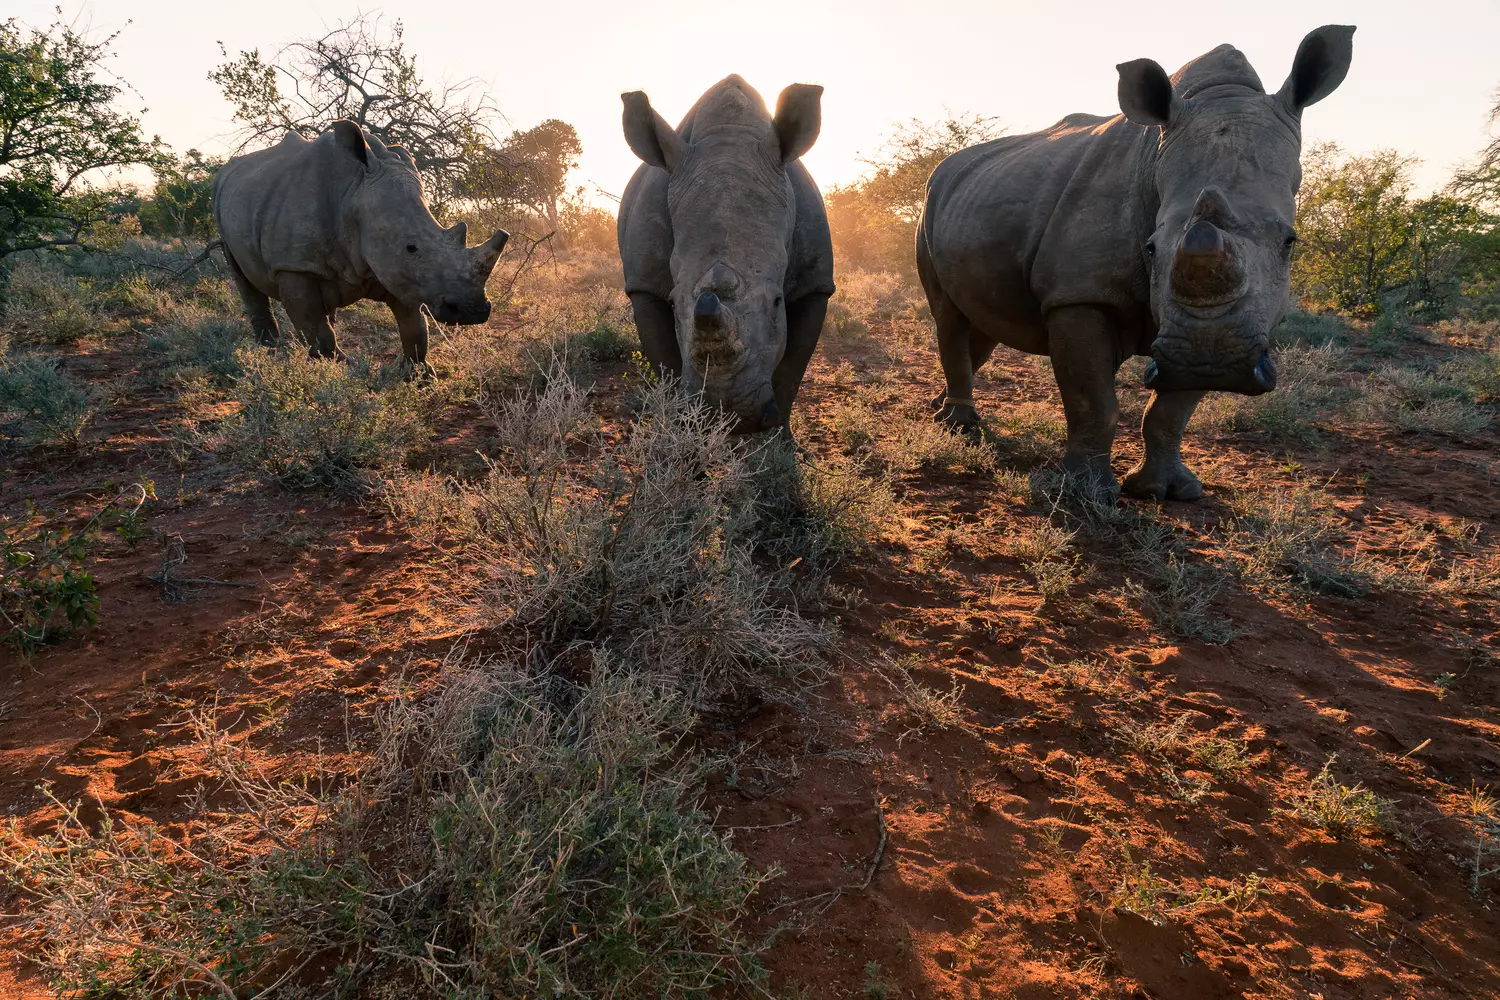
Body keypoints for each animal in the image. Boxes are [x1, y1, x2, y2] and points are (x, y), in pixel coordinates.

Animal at [213, 119, 510, 365]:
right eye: (411, 247)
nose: (474, 311)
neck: (352, 191)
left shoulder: (394, 267)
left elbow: (414, 324)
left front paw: (420, 375)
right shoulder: (294, 265)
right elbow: (318, 329)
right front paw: (341, 367)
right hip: (221, 202)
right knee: (243, 278)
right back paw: (271, 351)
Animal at [618, 74, 840, 434]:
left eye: (777, 302)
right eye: (674, 302)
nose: (728, 415)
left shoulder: (816, 284)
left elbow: (791, 374)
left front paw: (779, 439)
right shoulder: (643, 285)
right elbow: (666, 364)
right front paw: (686, 433)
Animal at [918, 26, 1356, 500]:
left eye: (1290, 243)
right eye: (1150, 247)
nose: (1213, 360)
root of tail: (947, 167)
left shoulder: (1209, 334)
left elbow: (1169, 412)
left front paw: (1165, 491)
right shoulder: (1080, 294)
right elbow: (1093, 402)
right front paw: (1087, 493)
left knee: (981, 324)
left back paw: (943, 411)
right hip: (931, 203)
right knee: (948, 315)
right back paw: (958, 427)